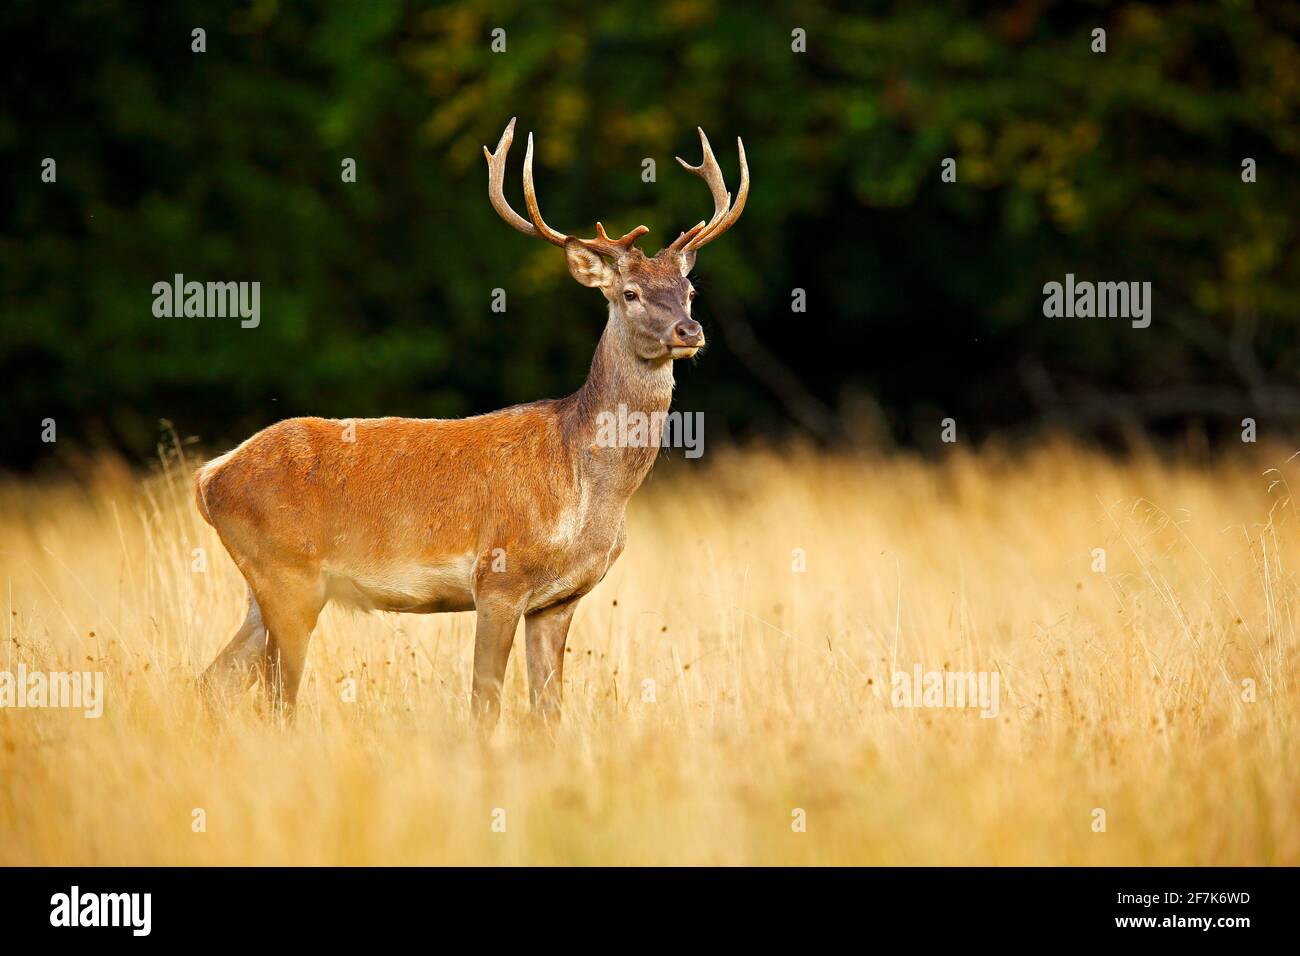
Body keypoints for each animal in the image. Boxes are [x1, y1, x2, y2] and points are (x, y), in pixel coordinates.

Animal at [195, 118, 748, 726]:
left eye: (688, 291)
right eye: (629, 293)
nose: (689, 331)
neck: (588, 488)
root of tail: (209, 476)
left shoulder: (560, 600)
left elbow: (548, 711)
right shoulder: (498, 577)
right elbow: (485, 703)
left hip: (263, 587)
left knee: (213, 679)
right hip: (287, 575)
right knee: (276, 697)